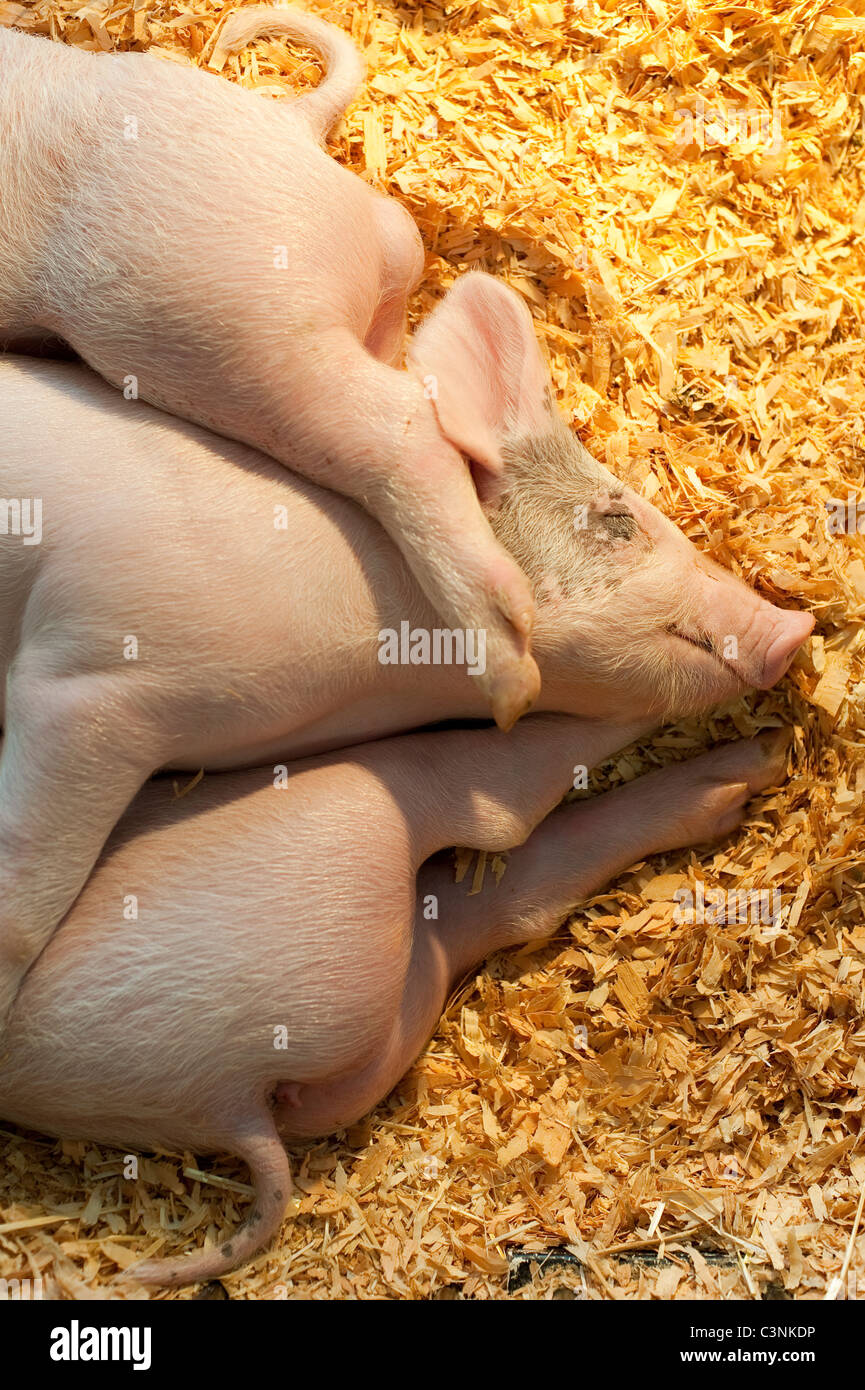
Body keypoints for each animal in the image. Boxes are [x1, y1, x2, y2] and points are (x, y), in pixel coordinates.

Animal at [0, 715, 791, 1287]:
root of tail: (218, 1098)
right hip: (356, 817)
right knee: (503, 803)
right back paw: (754, 754)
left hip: (386, 990)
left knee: (486, 904)